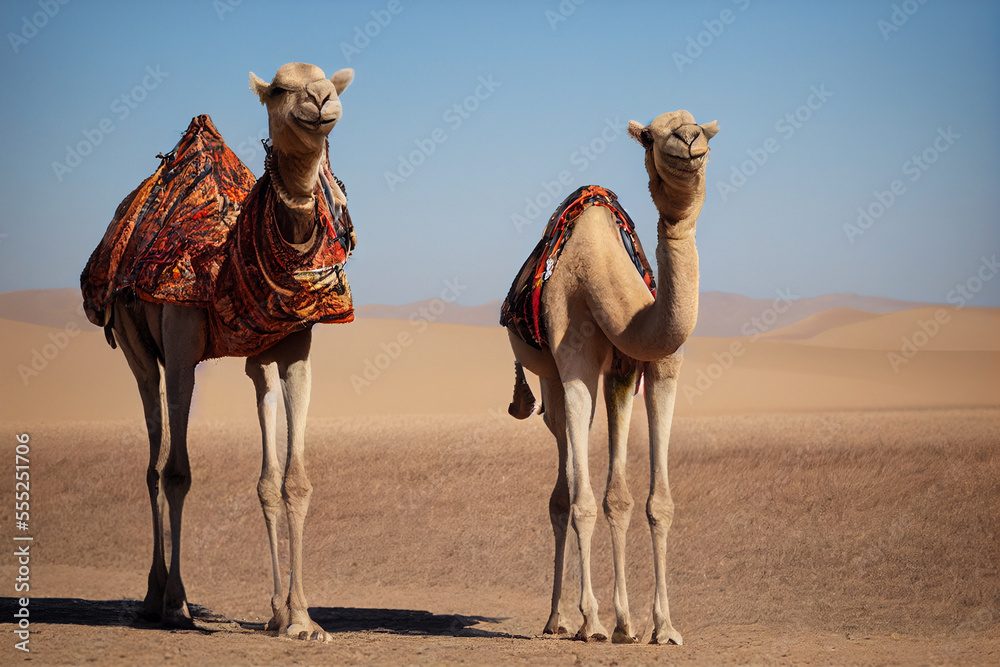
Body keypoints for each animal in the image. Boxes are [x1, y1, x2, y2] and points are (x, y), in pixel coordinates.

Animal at [106, 63, 354, 641]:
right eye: (281, 88)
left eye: (329, 80)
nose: (321, 101)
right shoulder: (180, 345)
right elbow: (177, 473)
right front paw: (178, 604)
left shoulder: (294, 346)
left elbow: (291, 481)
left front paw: (300, 618)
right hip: (135, 347)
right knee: (154, 458)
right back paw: (157, 598)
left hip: (255, 358)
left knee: (257, 468)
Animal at [504, 110, 718, 644]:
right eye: (649, 137)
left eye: (701, 127)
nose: (689, 140)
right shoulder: (575, 359)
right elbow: (580, 502)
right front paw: (593, 622)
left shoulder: (653, 367)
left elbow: (653, 503)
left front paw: (663, 627)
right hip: (551, 380)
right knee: (563, 490)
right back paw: (562, 620)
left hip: (615, 381)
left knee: (611, 495)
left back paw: (623, 623)